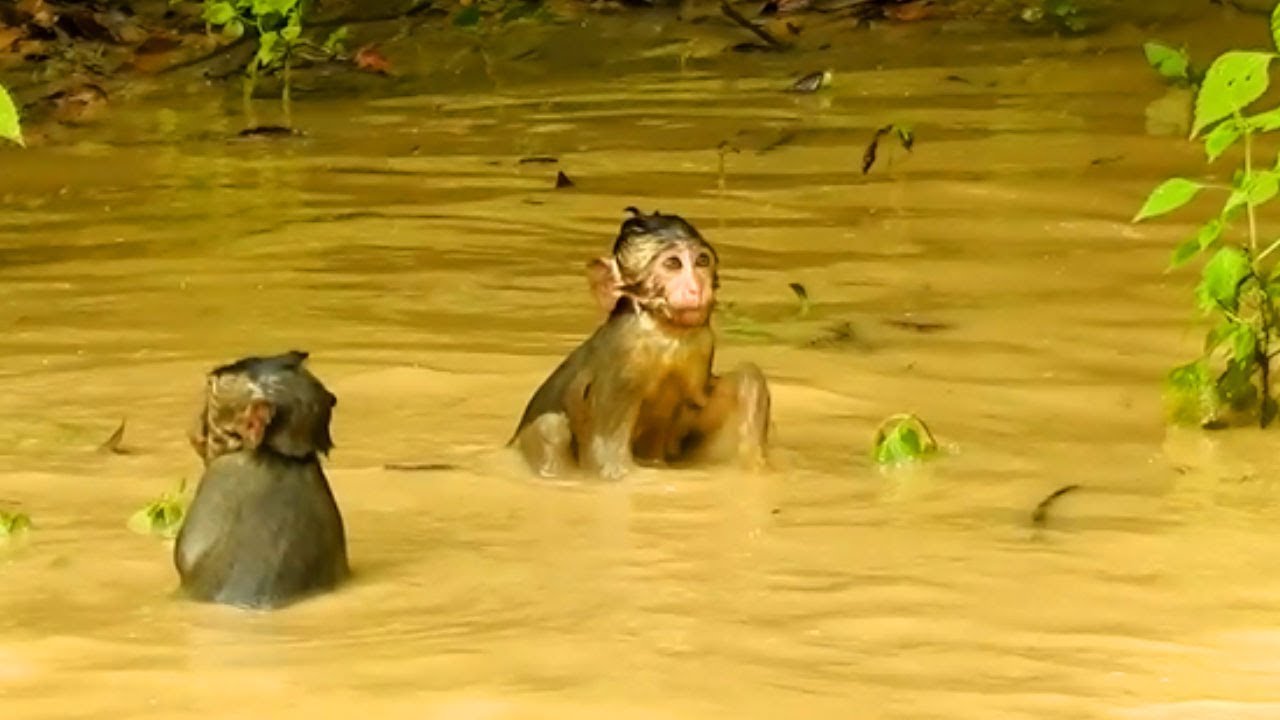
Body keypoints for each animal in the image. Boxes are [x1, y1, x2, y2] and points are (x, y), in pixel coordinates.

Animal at [511, 207, 771, 481]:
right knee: (550, 427)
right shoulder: (627, 355)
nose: (696, 289)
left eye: (702, 261)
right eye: (673, 264)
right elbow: (609, 460)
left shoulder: (700, 341)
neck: (663, 331)